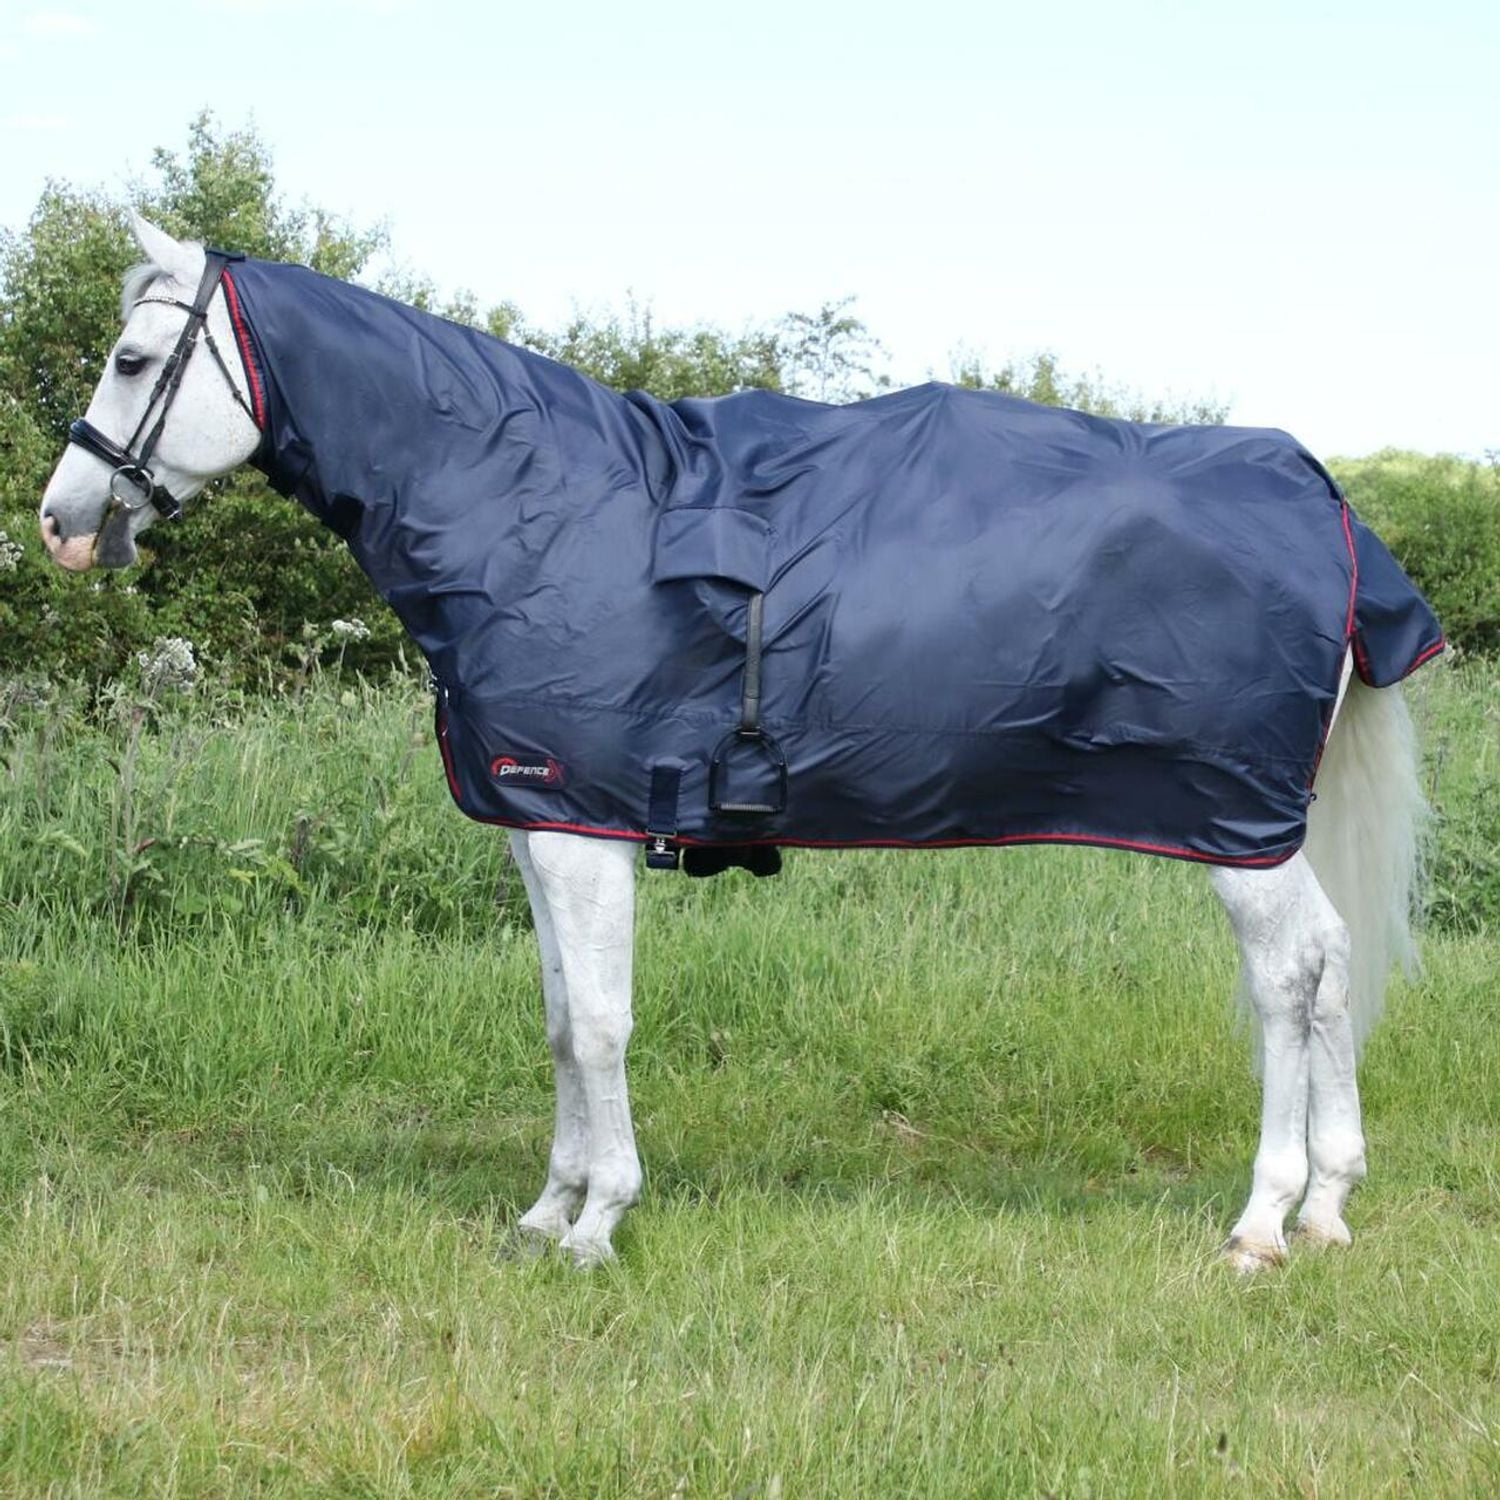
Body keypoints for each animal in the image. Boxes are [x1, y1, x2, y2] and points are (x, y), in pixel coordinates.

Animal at [39, 213, 1442, 1269]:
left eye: (131, 360)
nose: (60, 521)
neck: (528, 503)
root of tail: (1323, 499)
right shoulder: (546, 823)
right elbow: (560, 1018)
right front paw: (546, 1208)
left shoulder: (584, 832)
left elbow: (602, 1025)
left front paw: (599, 1222)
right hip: (1266, 825)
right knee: (1329, 964)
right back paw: (1328, 1204)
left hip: (1230, 820)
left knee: (1289, 978)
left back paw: (1261, 1220)